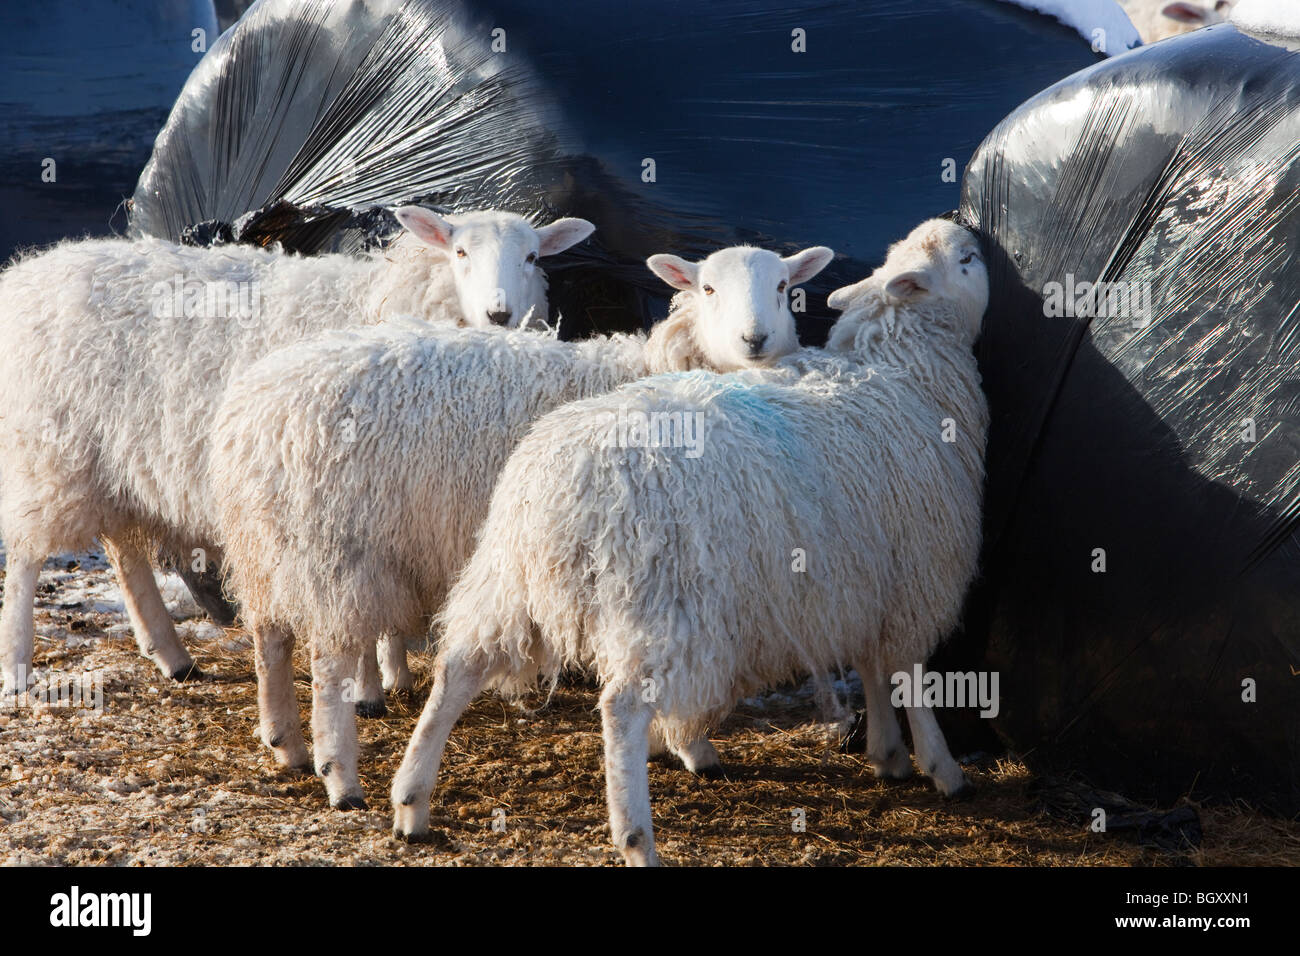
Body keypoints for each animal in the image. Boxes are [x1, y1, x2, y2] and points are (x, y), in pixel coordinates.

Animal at [0, 206, 595, 700]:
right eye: (461, 252)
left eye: (533, 256)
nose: (501, 314)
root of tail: (24, 276)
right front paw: (369, 684)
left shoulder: (399, 497)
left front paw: (394, 673)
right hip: (48, 448)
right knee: (27, 556)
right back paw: (17, 665)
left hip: (108, 461)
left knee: (124, 549)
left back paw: (171, 655)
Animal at [210, 243, 834, 808]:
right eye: (708, 287)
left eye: (784, 286)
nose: (755, 340)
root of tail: (254, 408)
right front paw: (692, 748)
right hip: (334, 546)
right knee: (327, 659)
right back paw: (339, 775)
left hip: (271, 543)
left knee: (269, 638)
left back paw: (285, 743)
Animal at [389, 219, 989, 864]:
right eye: (967, 260)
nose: (968, 231)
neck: (909, 378)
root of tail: (564, 491)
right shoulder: (917, 575)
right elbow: (910, 674)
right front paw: (941, 767)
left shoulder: (870, 579)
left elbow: (876, 667)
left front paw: (887, 752)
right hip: (658, 602)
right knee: (620, 707)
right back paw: (635, 836)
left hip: (508, 581)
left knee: (458, 667)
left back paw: (411, 800)